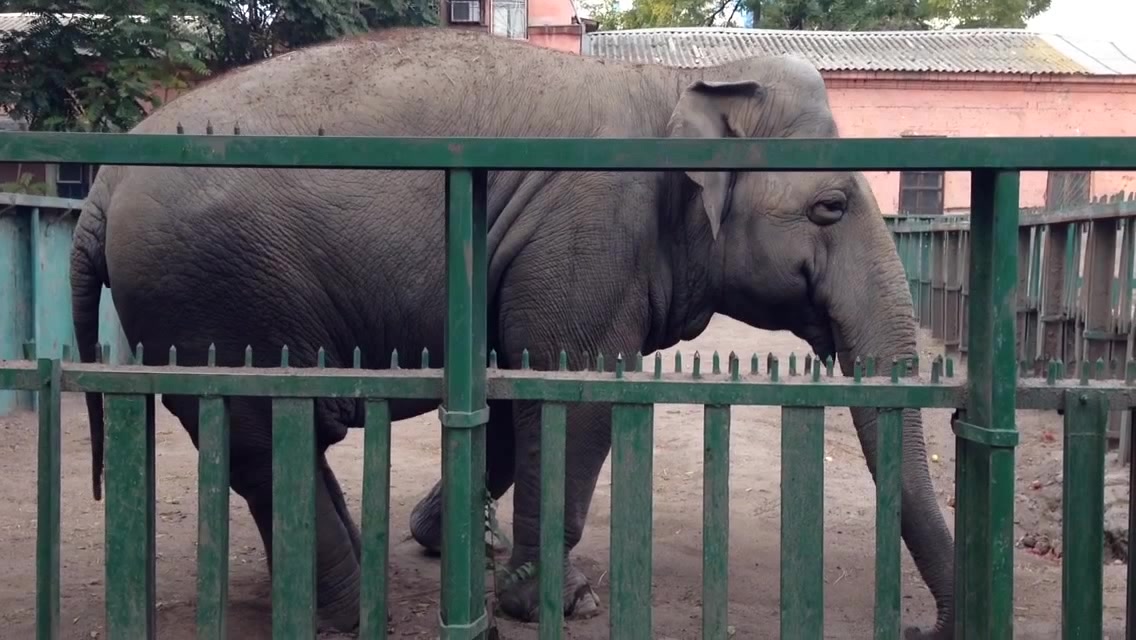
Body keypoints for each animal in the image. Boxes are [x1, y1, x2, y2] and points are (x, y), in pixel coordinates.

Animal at [69, 26, 954, 638]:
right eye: (831, 206)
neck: (682, 87)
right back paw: (355, 610)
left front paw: (457, 542)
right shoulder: (590, 238)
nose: (926, 625)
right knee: (269, 441)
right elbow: (574, 400)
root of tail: (102, 187)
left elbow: (508, 392)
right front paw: (566, 599)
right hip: (208, 289)